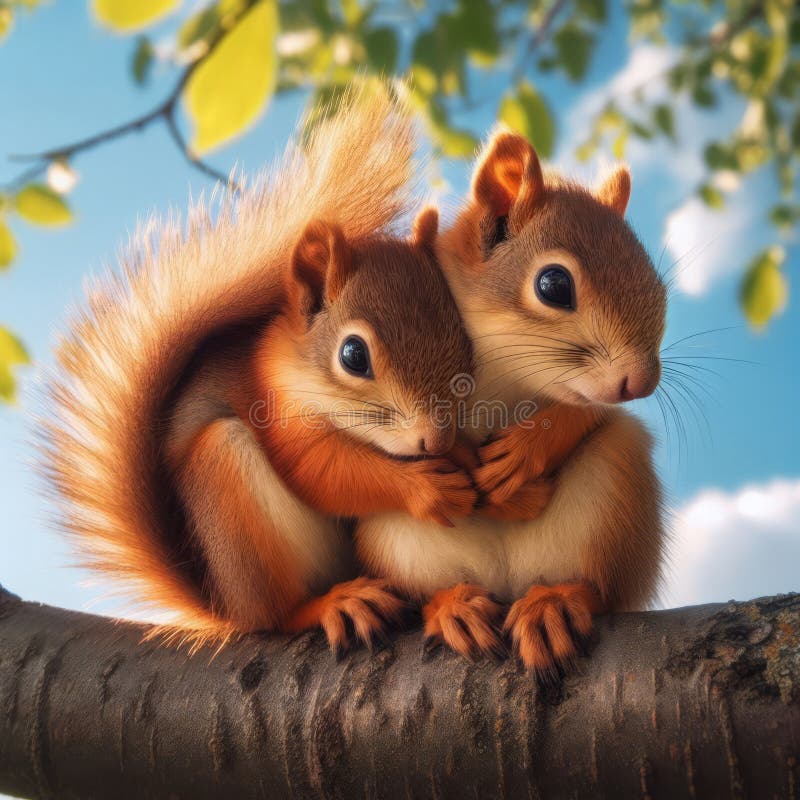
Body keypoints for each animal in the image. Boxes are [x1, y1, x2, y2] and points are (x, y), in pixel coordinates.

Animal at [42, 86, 477, 653]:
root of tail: (222, 603)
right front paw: (425, 489)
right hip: (230, 494)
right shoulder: (276, 409)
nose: (435, 438)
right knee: (273, 614)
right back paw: (328, 604)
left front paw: (466, 452)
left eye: (463, 334)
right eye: (353, 356)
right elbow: (323, 473)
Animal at [354, 130, 667, 676]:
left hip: (614, 492)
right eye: (553, 285)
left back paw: (556, 602)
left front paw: (525, 452)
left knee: (597, 587)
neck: (508, 371)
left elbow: (586, 409)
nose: (642, 382)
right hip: (392, 540)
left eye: (658, 284)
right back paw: (452, 605)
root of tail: (504, 582)